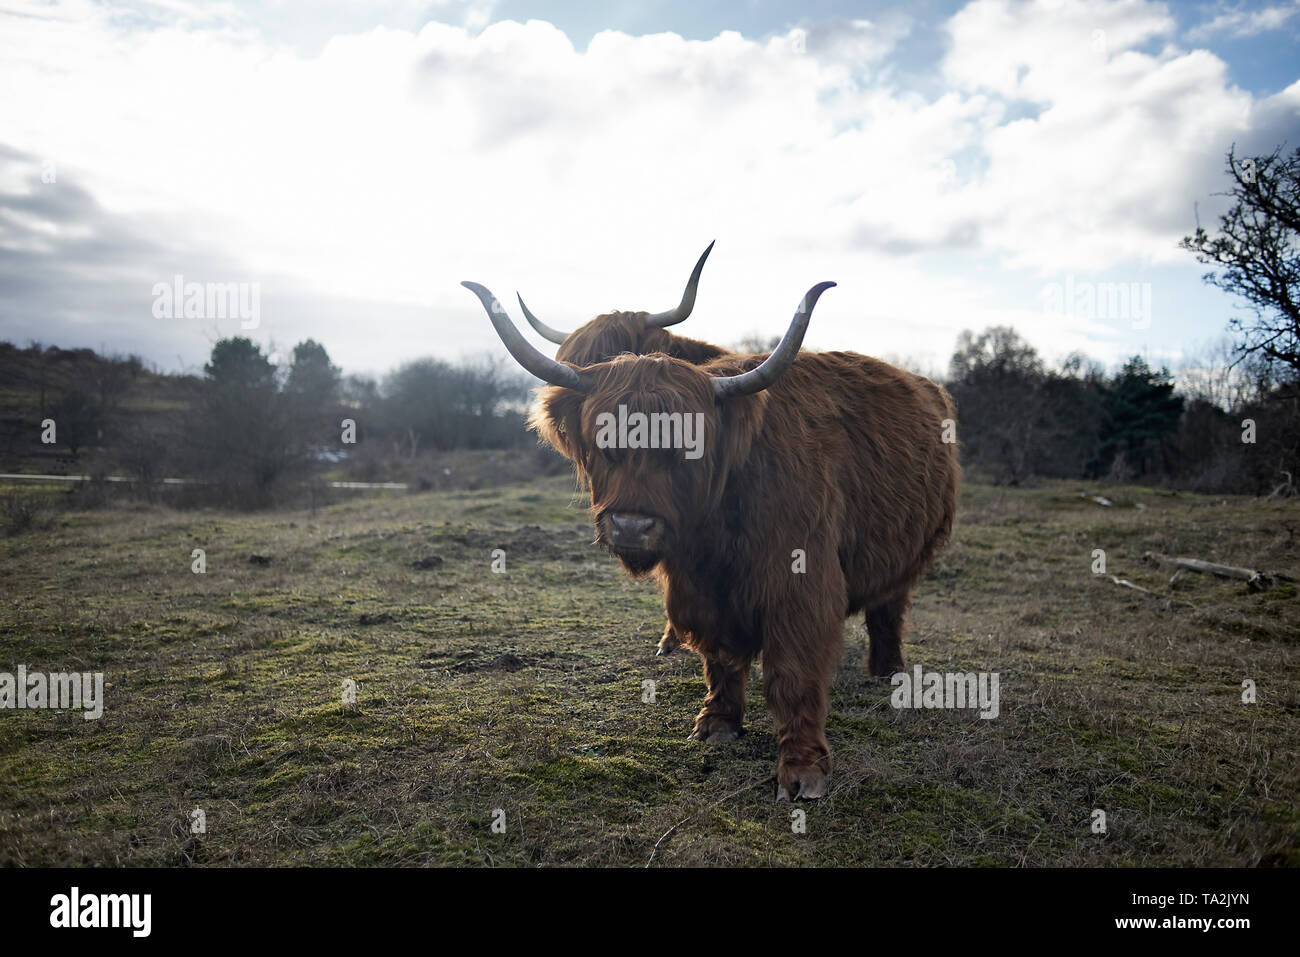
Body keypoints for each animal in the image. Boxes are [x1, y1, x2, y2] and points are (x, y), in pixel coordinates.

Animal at [462, 277, 960, 801]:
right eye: (603, 439)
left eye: (687, 445)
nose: (631, 526)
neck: (719, 525)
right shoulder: (696, 585)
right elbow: (718, 656)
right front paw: (718, 722)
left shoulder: (800, 581)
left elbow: (793, 672)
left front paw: (802, 769)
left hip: (908, 552)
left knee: (889, 611)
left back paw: (888, 672)